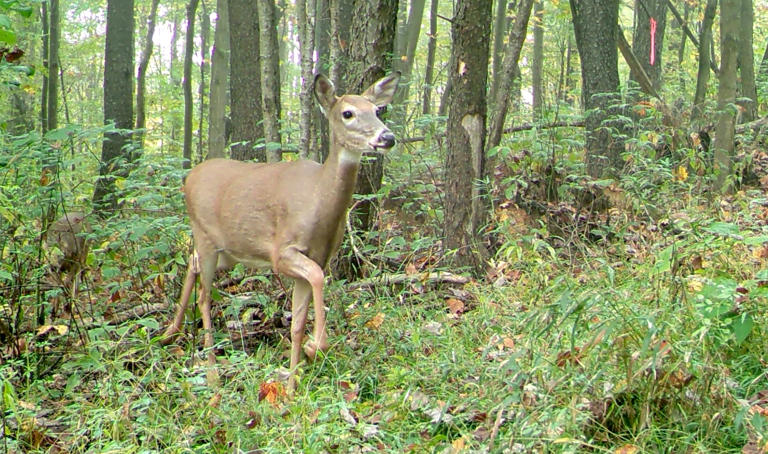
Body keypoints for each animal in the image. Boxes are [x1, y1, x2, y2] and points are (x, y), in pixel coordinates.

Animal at [162, 71, 400, 390]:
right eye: (348, 113)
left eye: (377, 110)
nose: (387, 137)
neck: (318, 203)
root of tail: (189, 177)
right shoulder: (282, 251)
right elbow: (317, 278)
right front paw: (316, 346)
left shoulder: (319, 256)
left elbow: (298, 320)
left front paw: (291, 385)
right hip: (205, 235)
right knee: (205, 296)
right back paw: (211, 372)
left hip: (229, 250)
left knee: (192, 262)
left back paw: (170, 332)